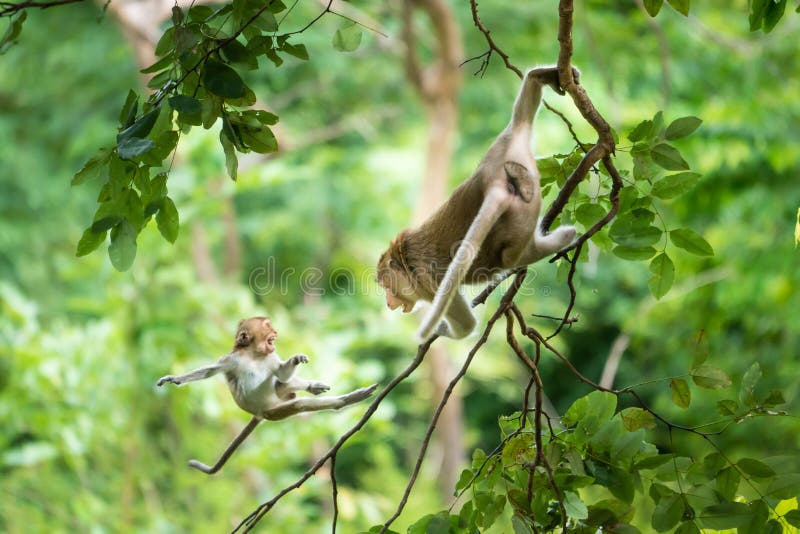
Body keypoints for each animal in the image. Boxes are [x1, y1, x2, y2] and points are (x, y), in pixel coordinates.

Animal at [157, 316, 378, 474]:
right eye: (267, 325)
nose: (275, 332)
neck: (255, 356)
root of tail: (259, 413)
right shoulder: (232, 360)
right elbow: (210, 371)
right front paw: (174, 379)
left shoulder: (271, 357)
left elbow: (281, 373)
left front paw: (297, 360)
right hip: (275, 412)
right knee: (297, 404)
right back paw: (344, 400)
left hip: (279, 400)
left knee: (282, 383)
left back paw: (317, 389)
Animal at [376, 67, 578, 340]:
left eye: (386, 285)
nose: (388, 302)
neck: (406, 257)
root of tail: (493, 182)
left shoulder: (428, 284)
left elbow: (465, 325)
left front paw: (440, 328)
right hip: (506, 148)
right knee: (519, 123)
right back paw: (541, 76)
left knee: (508, 258)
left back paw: (563, 238)